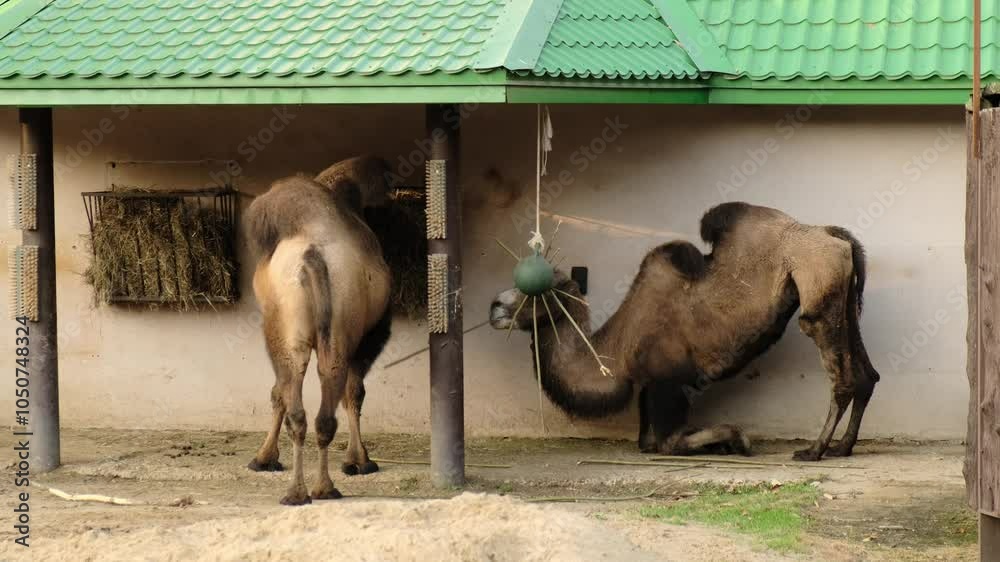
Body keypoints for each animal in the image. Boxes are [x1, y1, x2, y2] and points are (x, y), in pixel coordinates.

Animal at [243, 156, 393, 505]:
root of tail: (313, 255)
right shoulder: (366, 338)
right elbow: (354, 392)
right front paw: (359, 461)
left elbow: (279, 394)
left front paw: (264, 458)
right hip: (336, 336)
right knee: (328, 402)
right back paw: (322, 487)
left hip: (288, 337)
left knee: (296, 403)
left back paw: (300, 491)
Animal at [490, 202, 880, 461]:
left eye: (534, 288)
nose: (494, 306)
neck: (620, 349)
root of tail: (833, 235)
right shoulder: (651, 387)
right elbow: (647, 442)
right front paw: (725, 441)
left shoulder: (668, 382)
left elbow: (666, 443)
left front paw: (737, 438)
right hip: (844, 297)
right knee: (867, 375)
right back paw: (843, 447)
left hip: (816, 288)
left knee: (841, 374)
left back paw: (814, 450)